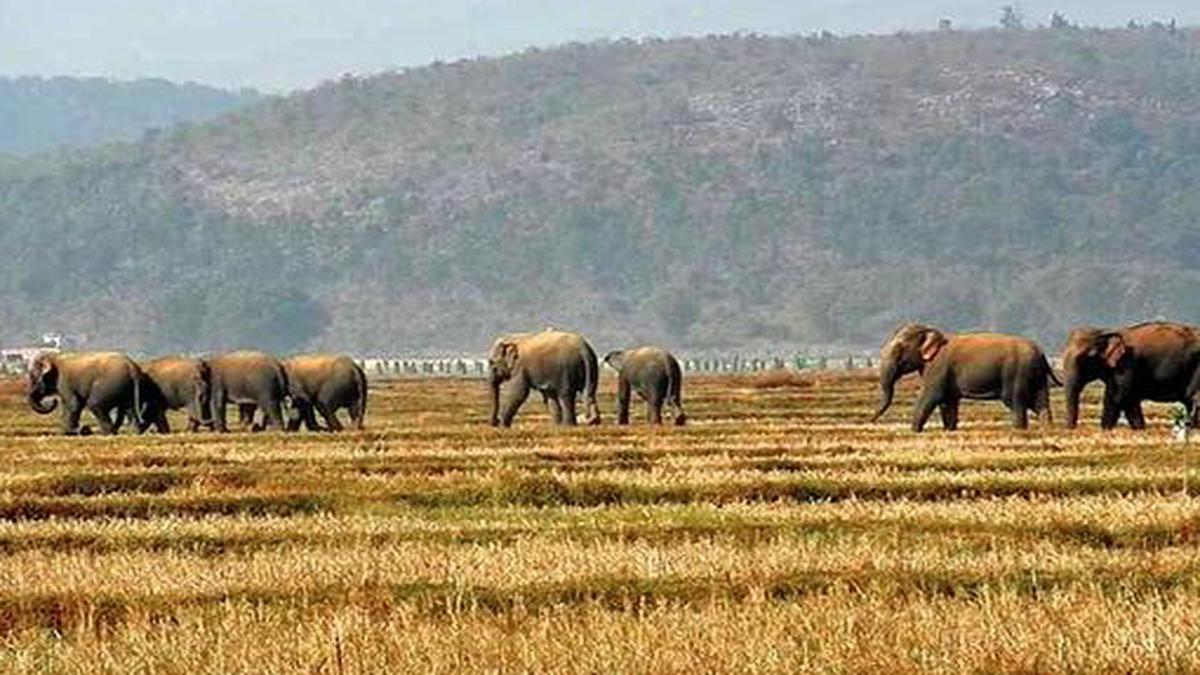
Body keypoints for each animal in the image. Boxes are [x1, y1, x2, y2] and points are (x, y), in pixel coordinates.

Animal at [873, 324, 1058, 431]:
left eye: (899, 350)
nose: (871, 420)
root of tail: (1042, 353)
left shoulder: (938, 368)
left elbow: (931, 397)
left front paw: (914, 431)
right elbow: (948, 402)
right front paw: (949, 430)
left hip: (1016, 374)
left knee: (1016, 403)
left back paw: (1019, 430)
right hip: (1037, 376)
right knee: (1040, 403)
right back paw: (1047, 429)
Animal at [1062, 321, 1200, 430]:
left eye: (1090, 356)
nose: (1071, 429)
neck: (1106, 332)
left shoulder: (1127, 365)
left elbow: (1117, 397)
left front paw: (1105, 429)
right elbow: (1130, 401)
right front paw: (1140, 429)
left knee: (1194, 399)